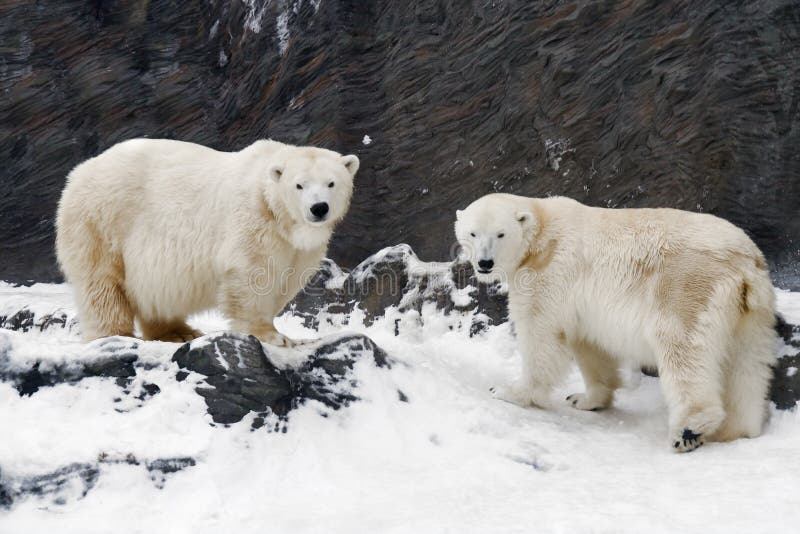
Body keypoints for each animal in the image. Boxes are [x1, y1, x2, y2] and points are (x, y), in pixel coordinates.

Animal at [55, 138, 359, 346]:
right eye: (299, 185)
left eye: (331, 183)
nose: (319, 208)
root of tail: (76, 174)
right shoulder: (251, 221)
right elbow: (253, 274)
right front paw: (272, 335)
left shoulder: (295, 247)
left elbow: (287, 277)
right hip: (102, 222)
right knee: (103, 283)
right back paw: (117, 335)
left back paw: (179, 332)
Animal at [454, 193, 777, 452]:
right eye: (472, 233)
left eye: (500, 234)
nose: (484, 263)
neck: (541, 233)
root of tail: (744, 261)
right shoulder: (581, 305)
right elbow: (589, 345)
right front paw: (585, 398)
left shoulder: (549, 274)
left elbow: (541, 336)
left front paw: (508, 391)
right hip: (751, 312)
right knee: (747, 364)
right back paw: (736, 430)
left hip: (687, 287)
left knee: (683, 349)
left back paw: (688, 430)